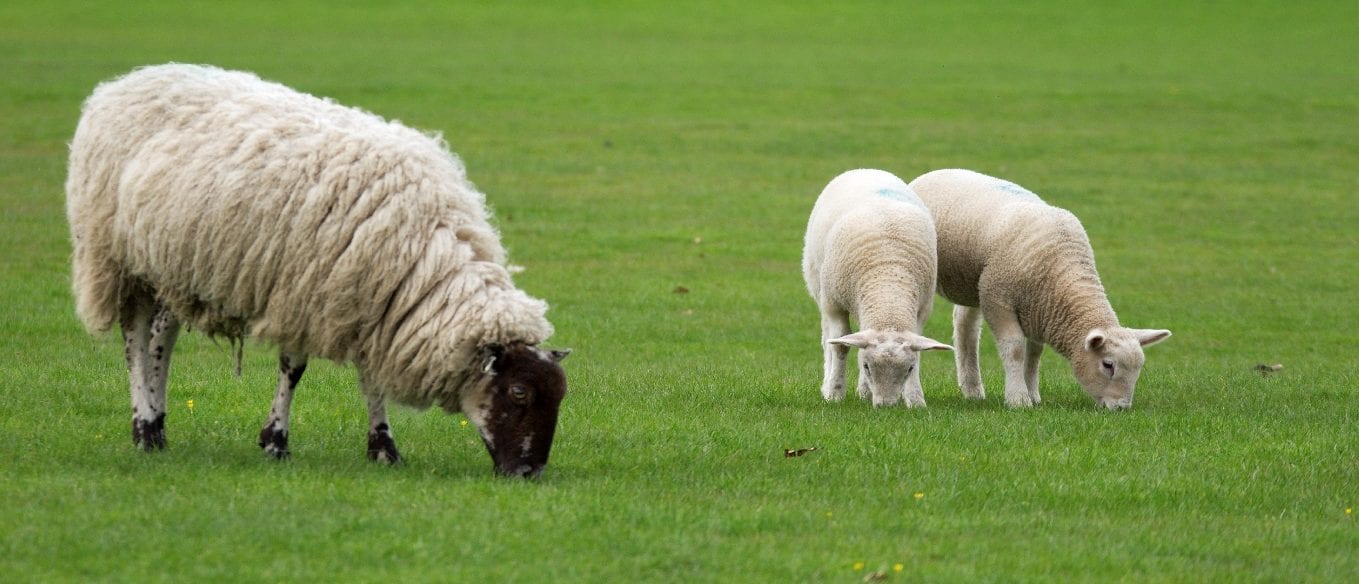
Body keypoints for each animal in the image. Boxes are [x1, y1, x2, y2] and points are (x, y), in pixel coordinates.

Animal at [65, 63, 571, 477]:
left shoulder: (374, 305)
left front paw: (383, 449)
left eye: (560, 396)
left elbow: (371, 379)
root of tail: (126, 81)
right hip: (120, 259)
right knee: (135, 341)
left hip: (175, 268)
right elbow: (294, 368)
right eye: (519, 393)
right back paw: (145, 428)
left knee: (161, 340)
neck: (425, 254)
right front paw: (276, 443)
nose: (529, 474)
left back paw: (158, 424)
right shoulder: (302, 292)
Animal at [802, 169, 953, 408]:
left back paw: (864, 392)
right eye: (867, 367)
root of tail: (865, 169)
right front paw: (835, 393)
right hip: (819, 286)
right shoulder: (835, 305)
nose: (886, 406)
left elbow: (917, 352)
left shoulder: (921, 310)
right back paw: (828, 384)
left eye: (909, 369)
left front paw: (915, 400)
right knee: (828, 340)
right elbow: (840, 346)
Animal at [907, 168, 1171, 410]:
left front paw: (1033, 395)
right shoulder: (997, 298)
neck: (1063, 271)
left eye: (1138, 369)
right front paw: (1018, 400)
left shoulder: (1038, 309)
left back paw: (972, 389)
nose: (1121, 408)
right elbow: (1015, 349)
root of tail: (932, 173)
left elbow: (1034, 354)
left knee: (965, 326)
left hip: (973, 283)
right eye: (1108, 365)